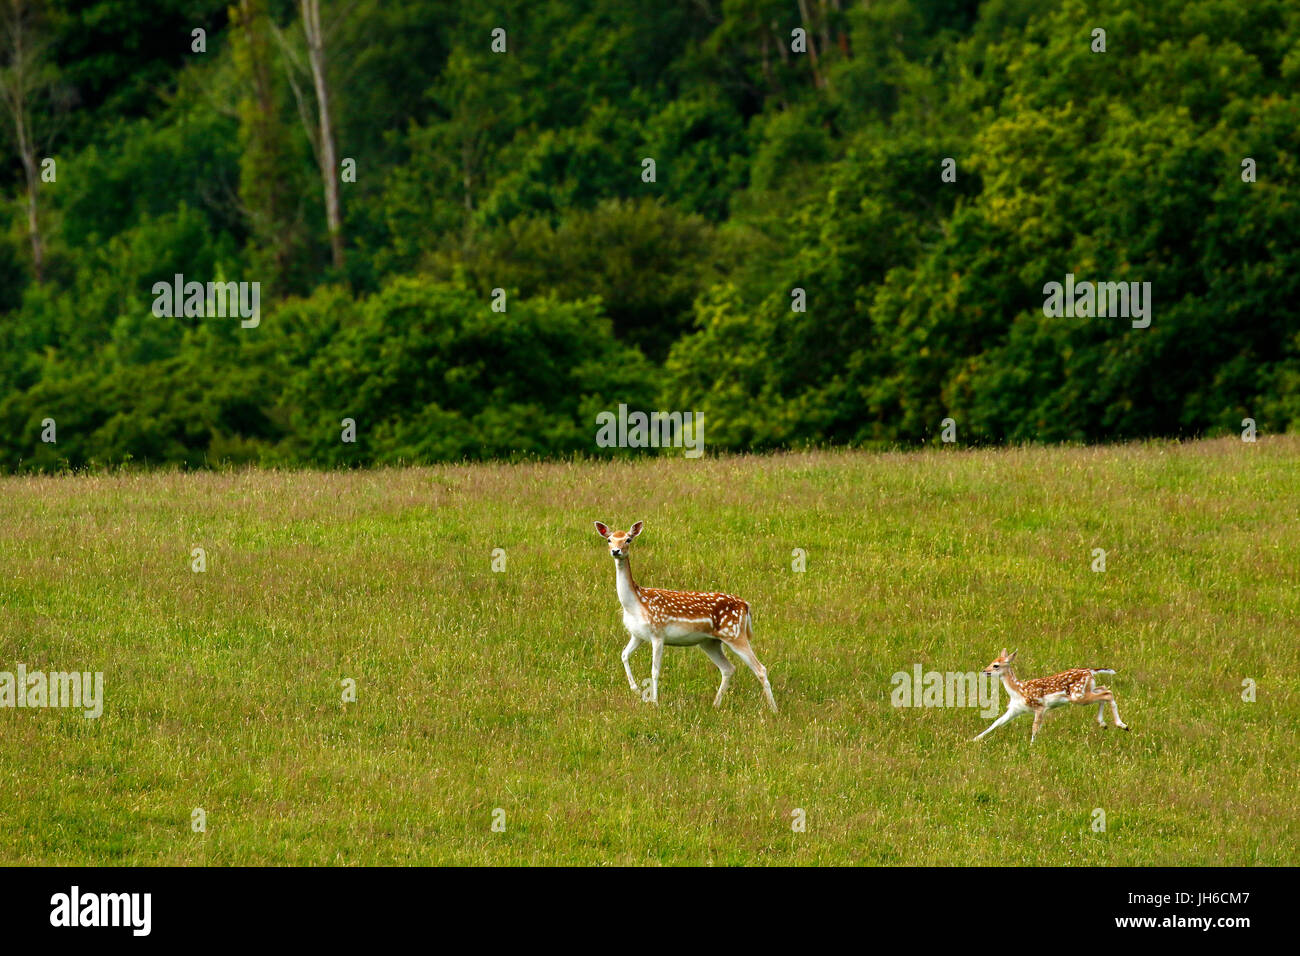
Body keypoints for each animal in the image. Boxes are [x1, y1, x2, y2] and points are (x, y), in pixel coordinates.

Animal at [593, 520, 777, 712]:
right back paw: (715, 704)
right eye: (609, 539)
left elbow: (655, 670)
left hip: (734, 634)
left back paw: (773, 710)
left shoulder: (658, 633)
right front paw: (636, 690)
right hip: (709, 642)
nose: (616, 551)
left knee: (760, 669)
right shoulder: (637, 635)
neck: (635, 604)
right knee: (728, 668)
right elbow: (624, 655)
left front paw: (655, 702)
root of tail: (746, 605)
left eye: (628, 539)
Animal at [973, 649, 1130, 743]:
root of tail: (1089, 670)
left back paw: (1122, 725)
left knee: (1107, 694)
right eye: (992, 662)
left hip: (1078, 696)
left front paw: (1031, 745)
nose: (984, 671)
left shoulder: (1040, 707)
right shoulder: (1016, 708)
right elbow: (997, 722)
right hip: (1087, 690)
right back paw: (1104, 723)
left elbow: (1035, 727)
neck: (1019, 690)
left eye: (996, 665)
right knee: (1104, 689)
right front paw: (975, 739)